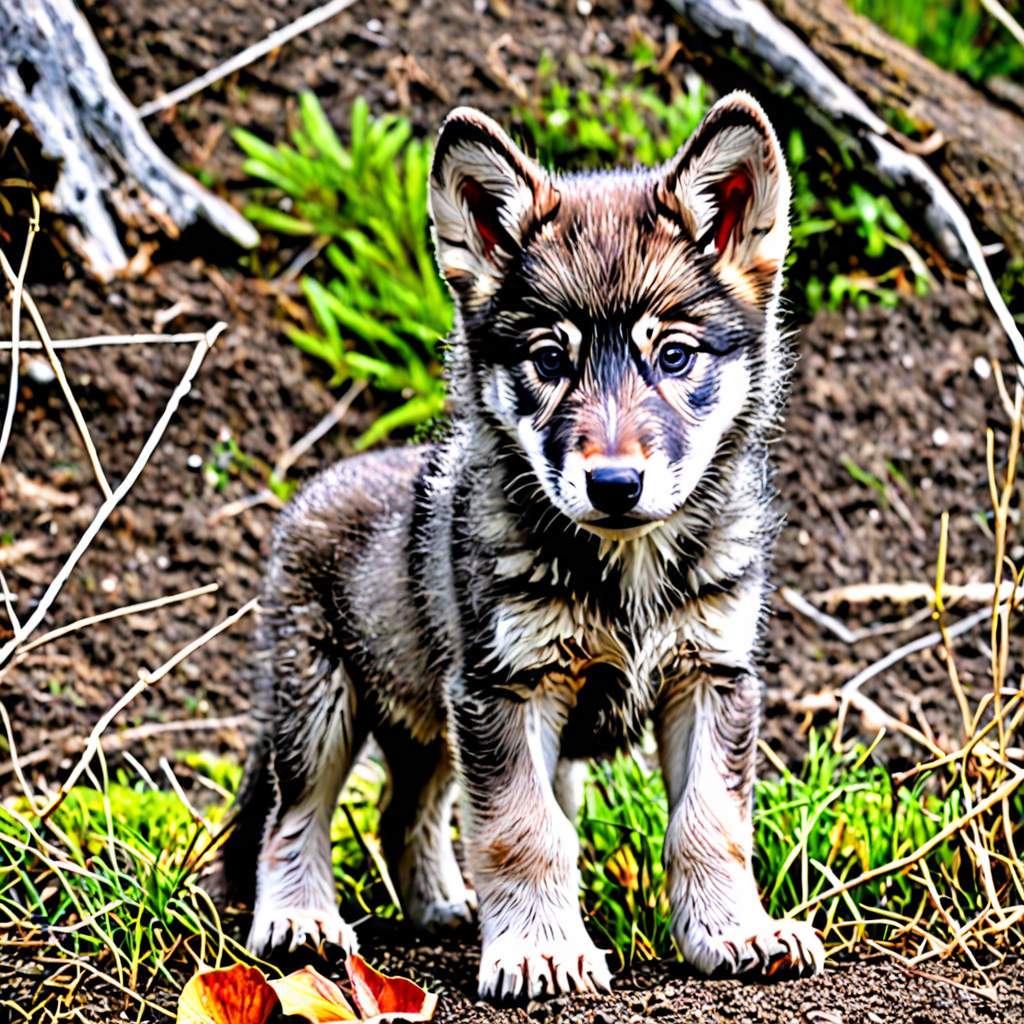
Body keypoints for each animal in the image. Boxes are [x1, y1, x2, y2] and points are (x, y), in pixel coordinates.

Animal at [218, 91, 826, 1000]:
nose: (615, 485)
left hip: (429, 722)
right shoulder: (507, 689)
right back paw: (299, 922)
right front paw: (542, 950)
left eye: (674, 356)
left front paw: (733, 932)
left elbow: (709, 824)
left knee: (403, 814)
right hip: (321, 708)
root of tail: (316, 488)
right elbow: (525, 829)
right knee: (295, 817)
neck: (626, 571)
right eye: (548, 359)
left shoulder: (711, 677)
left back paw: (442, 909)